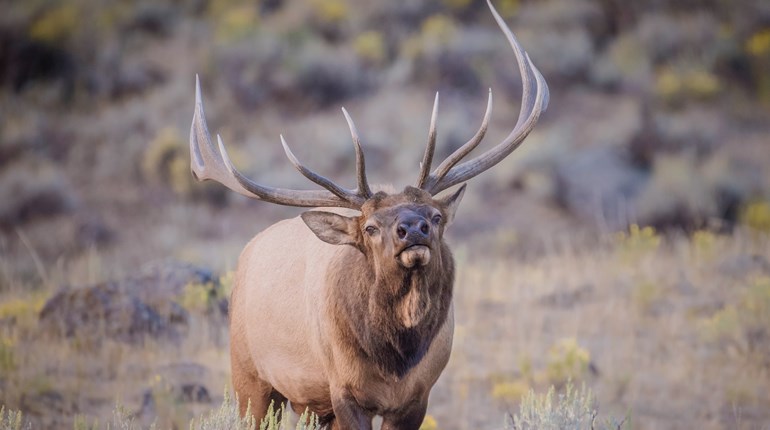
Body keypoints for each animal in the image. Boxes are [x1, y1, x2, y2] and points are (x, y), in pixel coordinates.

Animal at [189, 1, 548, 428]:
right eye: (372, 227)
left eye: (436, 216)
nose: (413, 229)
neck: (395, 361)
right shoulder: (343, 391)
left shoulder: (416, 397)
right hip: (249, 376)